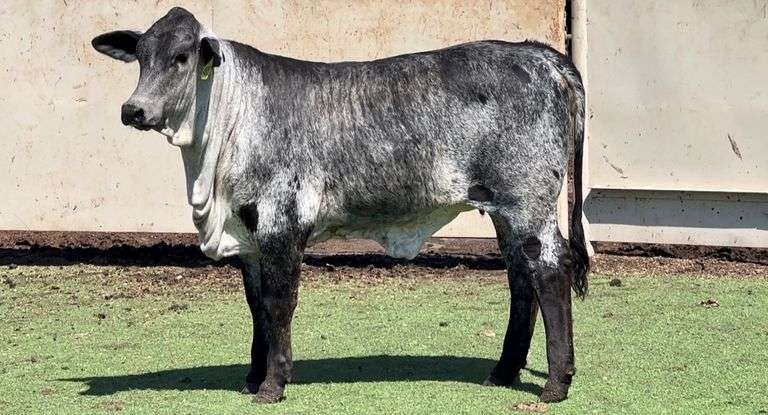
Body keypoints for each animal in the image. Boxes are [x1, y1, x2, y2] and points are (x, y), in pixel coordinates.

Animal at [92, 7, 589, 404]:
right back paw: (502, 372)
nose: (133, 110)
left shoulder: (281, 221)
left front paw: (272, 384)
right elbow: (255, 304)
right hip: (504, 209)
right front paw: (252, 377)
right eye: (141, 57)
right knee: (521, 280)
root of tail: (540, 55)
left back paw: (555, 384)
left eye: (181, 57)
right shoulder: (250, 235)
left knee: (550, 270)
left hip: (529, 202)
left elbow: (277, 301)